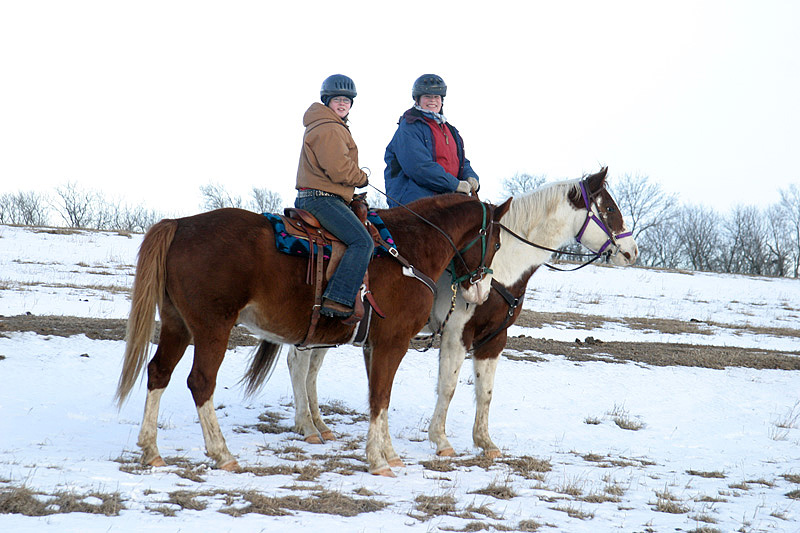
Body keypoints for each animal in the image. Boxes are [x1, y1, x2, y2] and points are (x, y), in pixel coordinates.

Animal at [115, 193, 511, 477]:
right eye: (496, 243)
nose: (481, 292)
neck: (408, 251)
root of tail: (179, 224)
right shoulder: (391, 342)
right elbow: (380, 396)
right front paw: (378, 460)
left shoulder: (374, 345)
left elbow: (378, 397)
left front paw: (389, 454)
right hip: (212, 328)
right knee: (200, 382)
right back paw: (222, 453)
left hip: (177, 325)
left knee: (159, 373)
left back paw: (151, 450)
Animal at [285, 167, 638, 460]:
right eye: (609, 209)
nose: (631, 252)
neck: (500, 267)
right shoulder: (457, 333)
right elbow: (448, 386)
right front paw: (440, 440)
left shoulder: (494, 339)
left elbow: (486, 392)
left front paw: (485, 442)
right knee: (298, 363)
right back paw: (308, 425)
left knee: (310, 367)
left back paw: (318, 424)